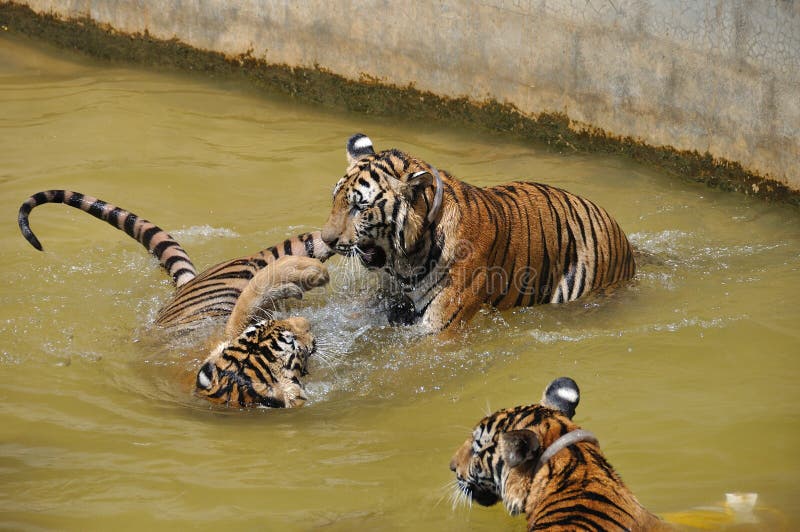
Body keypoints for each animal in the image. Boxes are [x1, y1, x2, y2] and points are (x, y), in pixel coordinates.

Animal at [18, 190, 332, 407]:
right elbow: (251, 295)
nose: (306, 324)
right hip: (257, 259)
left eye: (265, 328)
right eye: (293, 344)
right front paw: (311, 277)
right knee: (297, 246)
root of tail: (186, 283)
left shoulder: (227, 331)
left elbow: (248, 300)